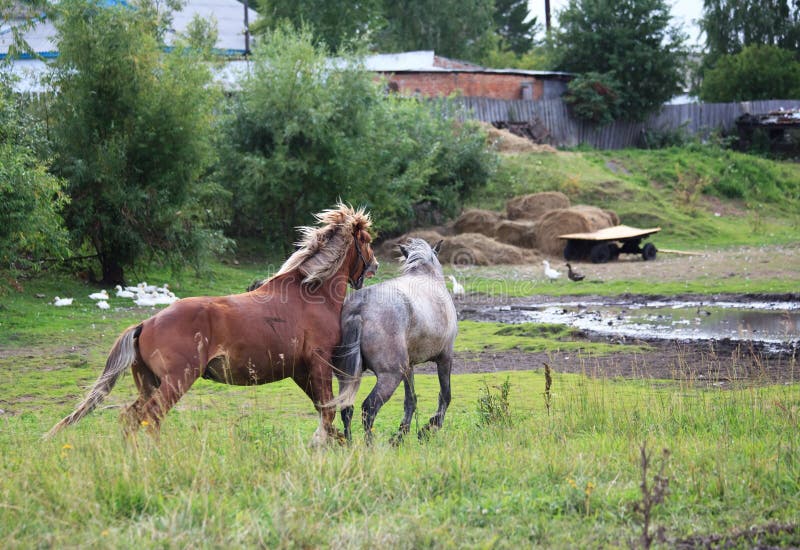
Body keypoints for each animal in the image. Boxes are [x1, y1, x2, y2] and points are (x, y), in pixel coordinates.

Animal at [45, 204, 379, 445]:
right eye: (366, 241)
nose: (374, 266)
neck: (310, 292)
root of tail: (145, 323)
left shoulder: (299, 370)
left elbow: (325, 412)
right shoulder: (319, 363)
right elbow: (328, 410)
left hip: (150, 384)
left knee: (131, 418)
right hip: (176, 382)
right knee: (151, 418)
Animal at [334, 238, 458, 443]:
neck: (427, 276)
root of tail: (360, 308)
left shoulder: (409, 366)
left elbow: (411, 399)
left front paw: (401, 435)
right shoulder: (445, 357)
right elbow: (445, 395)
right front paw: (428, 428)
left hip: (348, 376)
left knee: (347, 408)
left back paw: (350, 444)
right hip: (390, 376)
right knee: (369, 408)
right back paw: (370, 446)